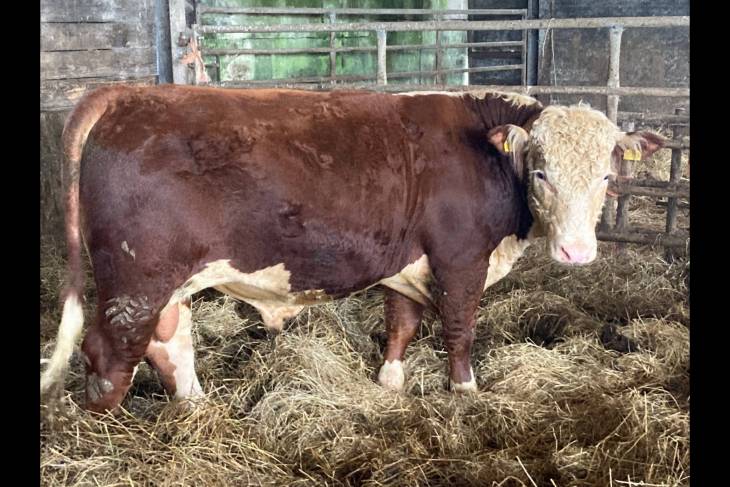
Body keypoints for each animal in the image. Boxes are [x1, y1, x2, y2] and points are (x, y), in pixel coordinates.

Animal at [40, 85, 664, 413]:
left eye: (606, 177)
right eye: (539, 172)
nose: (577, 254)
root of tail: (129, 92)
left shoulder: (407, 262)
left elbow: (402, 323)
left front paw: (389, 381)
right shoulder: (460, 261)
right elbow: (460, 329)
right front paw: (464, 391)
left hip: (168, 281)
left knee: (170, 341)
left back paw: (196, 405)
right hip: (135, 277)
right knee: (109, 350)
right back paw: (109, 423)